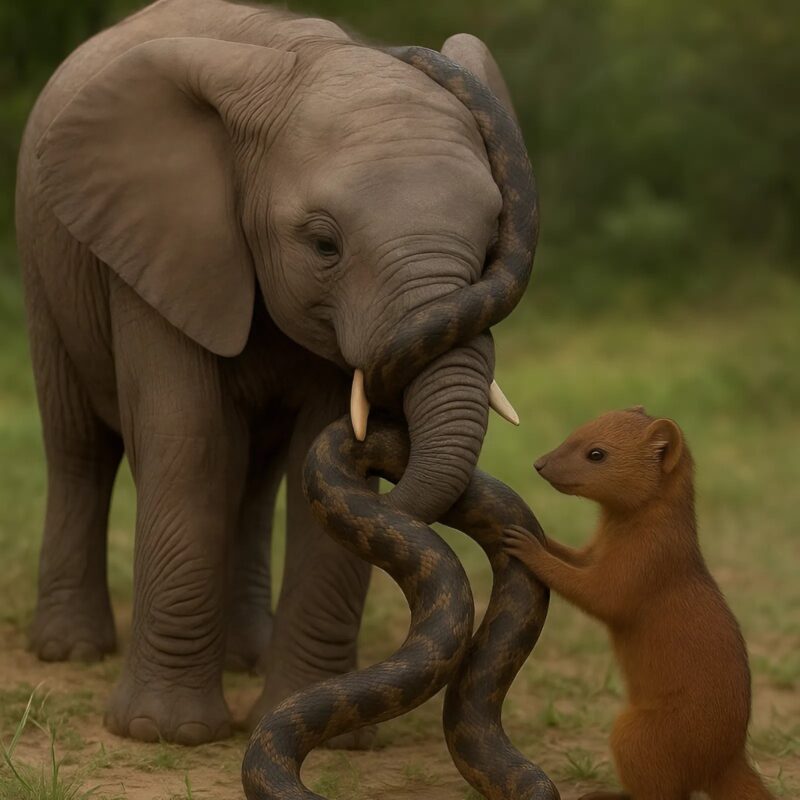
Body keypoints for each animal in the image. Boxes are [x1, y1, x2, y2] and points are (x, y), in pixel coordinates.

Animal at [15, 0, 537, 746]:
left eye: (495, 236)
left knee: (254, 479)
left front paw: (327, 735)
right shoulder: (156, 252)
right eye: (323, 244)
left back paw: (248, 657)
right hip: (44, 266)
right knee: (79, 447)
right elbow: (189, 443)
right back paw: (70, 650)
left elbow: (321, 461)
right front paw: (165, 733)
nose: (408, 508)